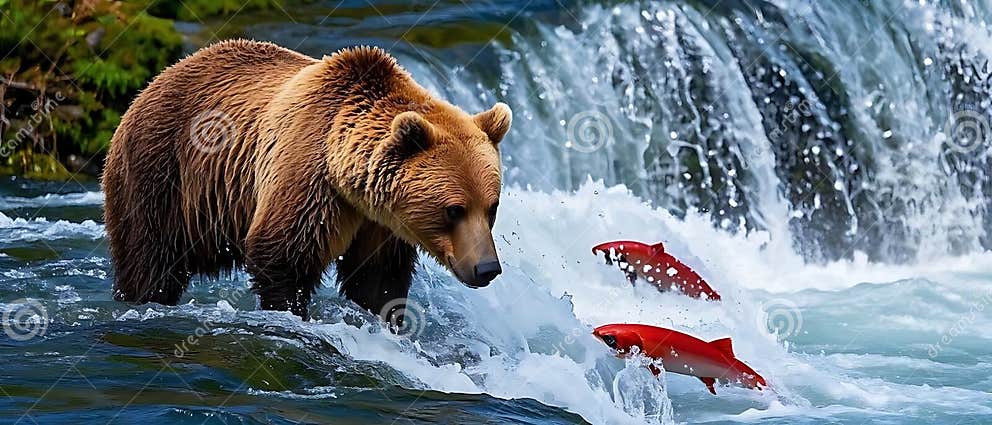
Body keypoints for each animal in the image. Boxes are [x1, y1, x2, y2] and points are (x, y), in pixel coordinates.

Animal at [102, 40, 511, 321]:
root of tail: (158, 78)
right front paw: (291, 311)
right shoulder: (308, 177)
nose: (487, 269)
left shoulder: (380, 223)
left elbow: (376, 279)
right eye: (454, 209)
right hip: (162, 173)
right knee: (148, 261)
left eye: (492, 207)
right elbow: (280, 253)